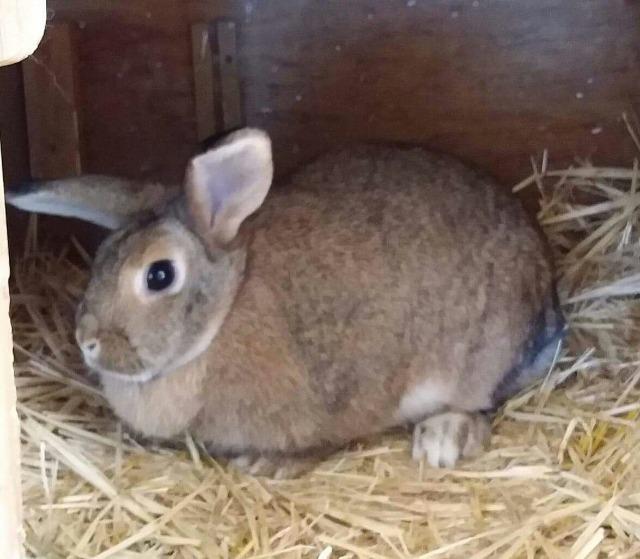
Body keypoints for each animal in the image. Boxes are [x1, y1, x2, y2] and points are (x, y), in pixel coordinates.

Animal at [7, 128, 565, 478]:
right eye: (100, 259)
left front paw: (267, 465)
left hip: (483, 355)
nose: (88, 341)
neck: (224, 314)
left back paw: (442, 438)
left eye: (159, 275)